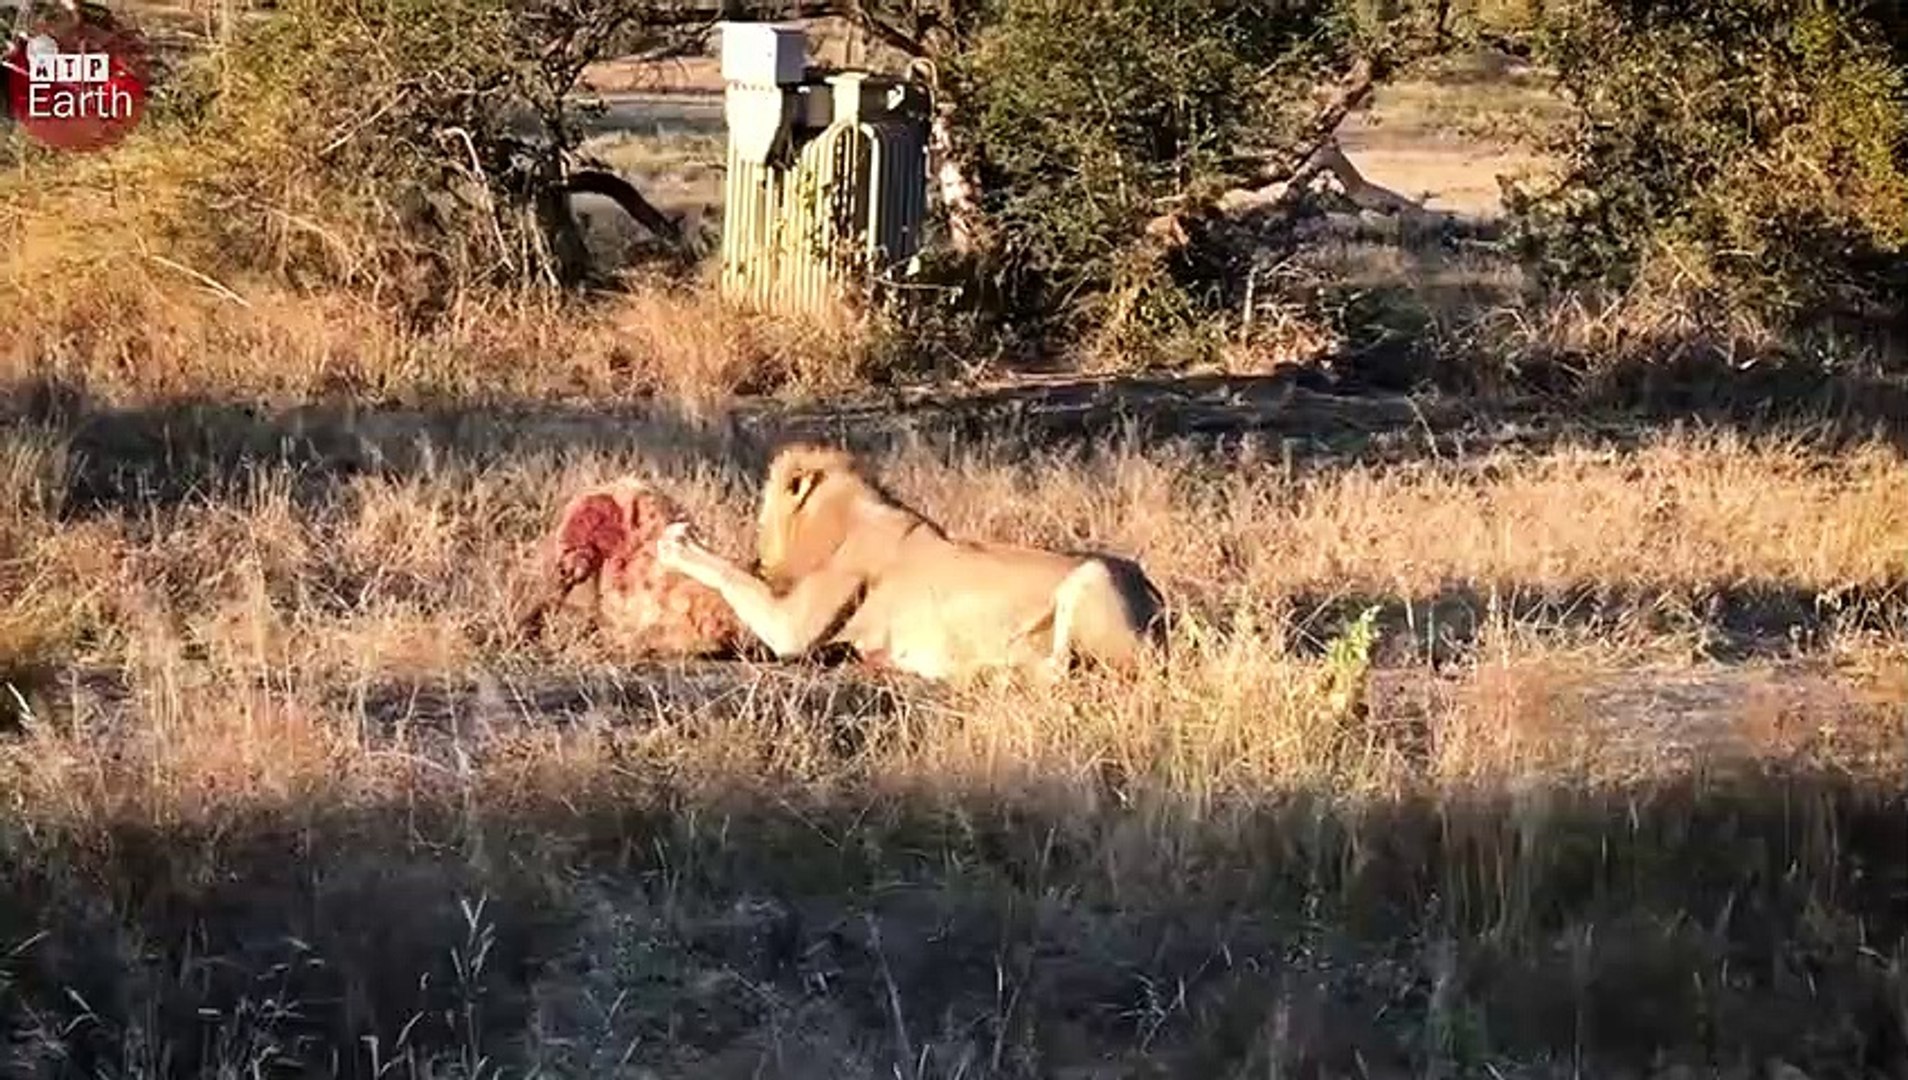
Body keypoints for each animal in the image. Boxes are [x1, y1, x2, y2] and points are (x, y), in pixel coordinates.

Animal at [655, 442, 1168, 681]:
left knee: (1060, 670)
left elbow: (733, 576)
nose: (758, 552)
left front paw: (676, 543)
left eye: (760, 513)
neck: (843, 518)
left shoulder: (791, 629)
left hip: (1093, 574)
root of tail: (1157, 600)